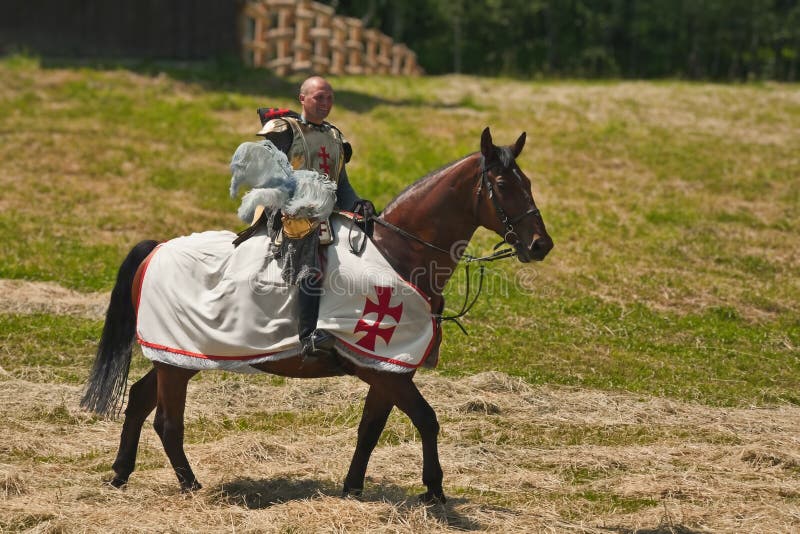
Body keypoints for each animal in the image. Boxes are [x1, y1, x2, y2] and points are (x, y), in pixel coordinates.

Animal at [80, 127, 553, 504]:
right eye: (501, 184)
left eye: (528, 182)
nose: (540, 244)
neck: (400, 254)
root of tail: (156, 248)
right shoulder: (386, 368)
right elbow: (427, 420)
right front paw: (434, 489)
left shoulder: (385, 369)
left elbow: (370, 428)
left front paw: (353, 487)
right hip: (176, 362)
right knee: (167, 421)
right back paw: (190, 485)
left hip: (177, 358)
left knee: (140, 400)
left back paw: (121, 474)